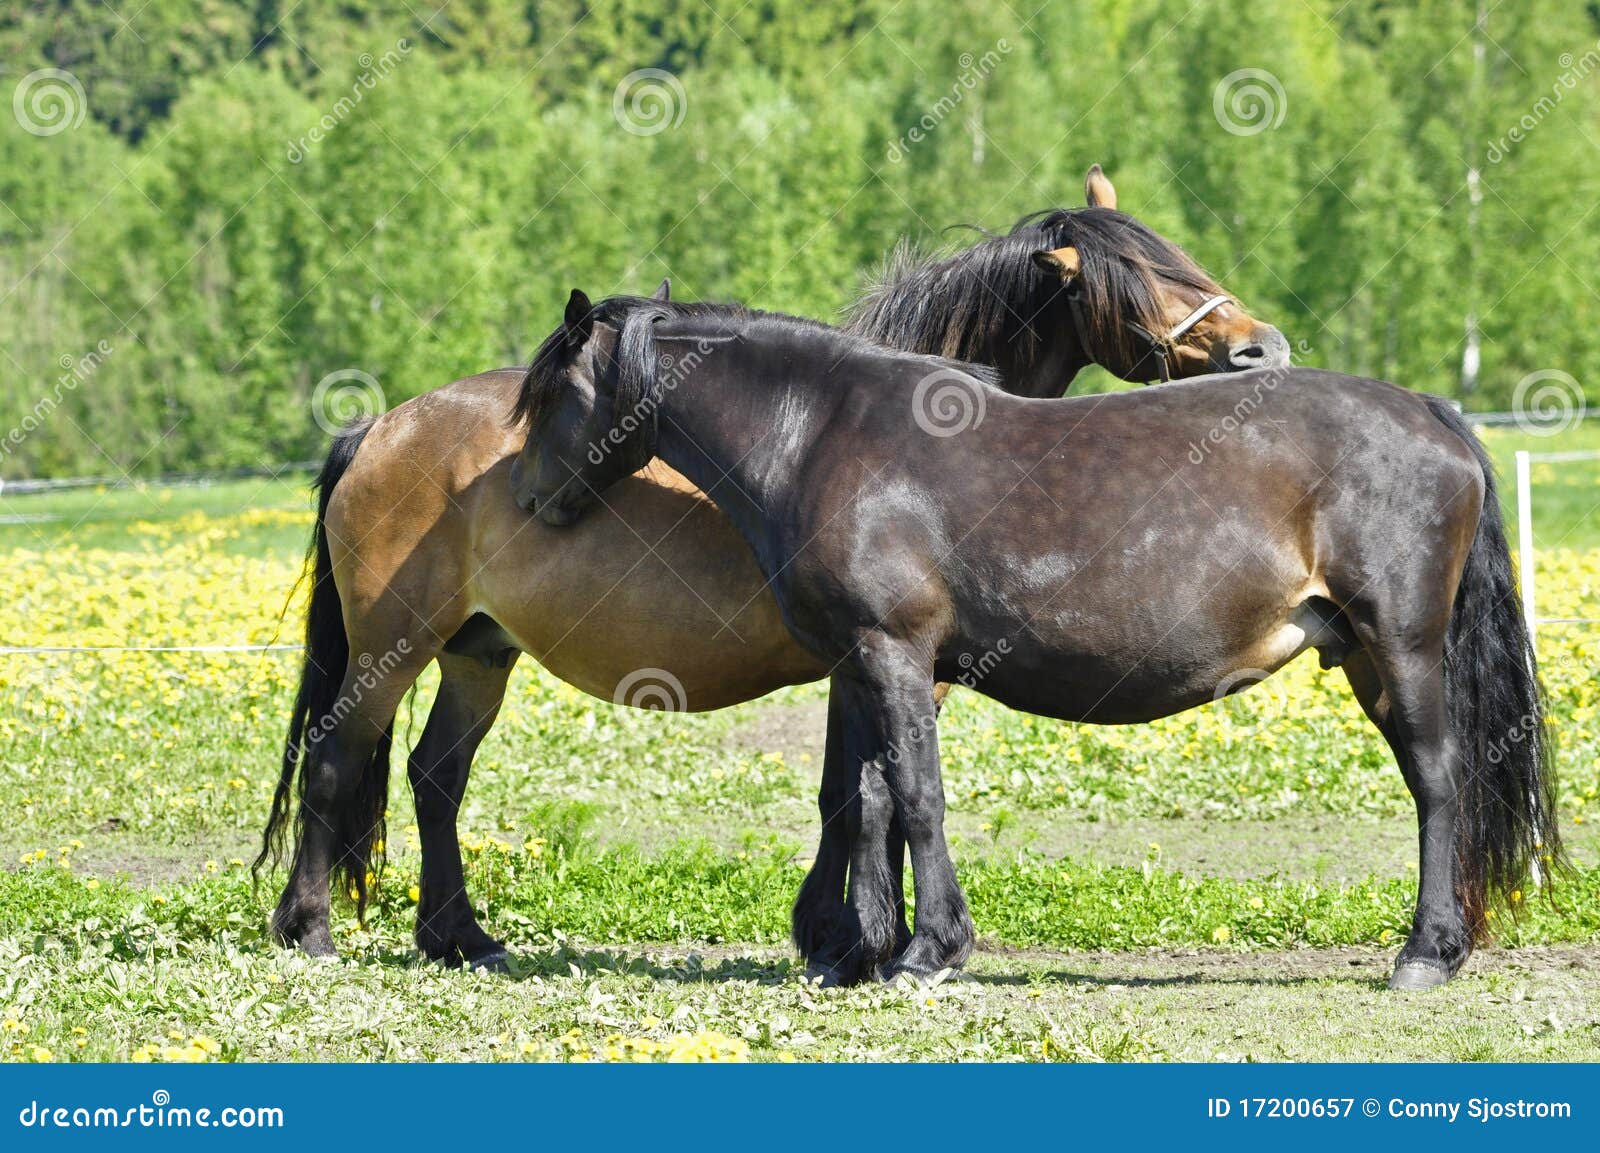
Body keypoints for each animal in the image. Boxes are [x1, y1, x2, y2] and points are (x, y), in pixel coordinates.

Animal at [257, 166, 1290, 969]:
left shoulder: (866, 665)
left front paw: (847, 935)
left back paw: (459, 937)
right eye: (1141, 287)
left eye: (1186, 261)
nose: (1263, 348)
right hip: (392, 648)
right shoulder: (878, 663)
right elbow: (866, 794)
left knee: (436, 776)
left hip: (477, 654)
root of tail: (380, 426)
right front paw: (853, 938)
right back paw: (309, 930)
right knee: (336, 760)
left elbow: (859, 794)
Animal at [513, 292, 1564, 992]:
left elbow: (917, 797)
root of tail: (1428, 410)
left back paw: (1424, 954)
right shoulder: (859, 664)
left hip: (1402, 645)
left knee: (1437, 780)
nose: (524, 498)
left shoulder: (894, 653)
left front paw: (926, 952)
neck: (821, 436)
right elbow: (866, 797)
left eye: (553, 391)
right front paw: (863, 950)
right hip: (1363, 654)